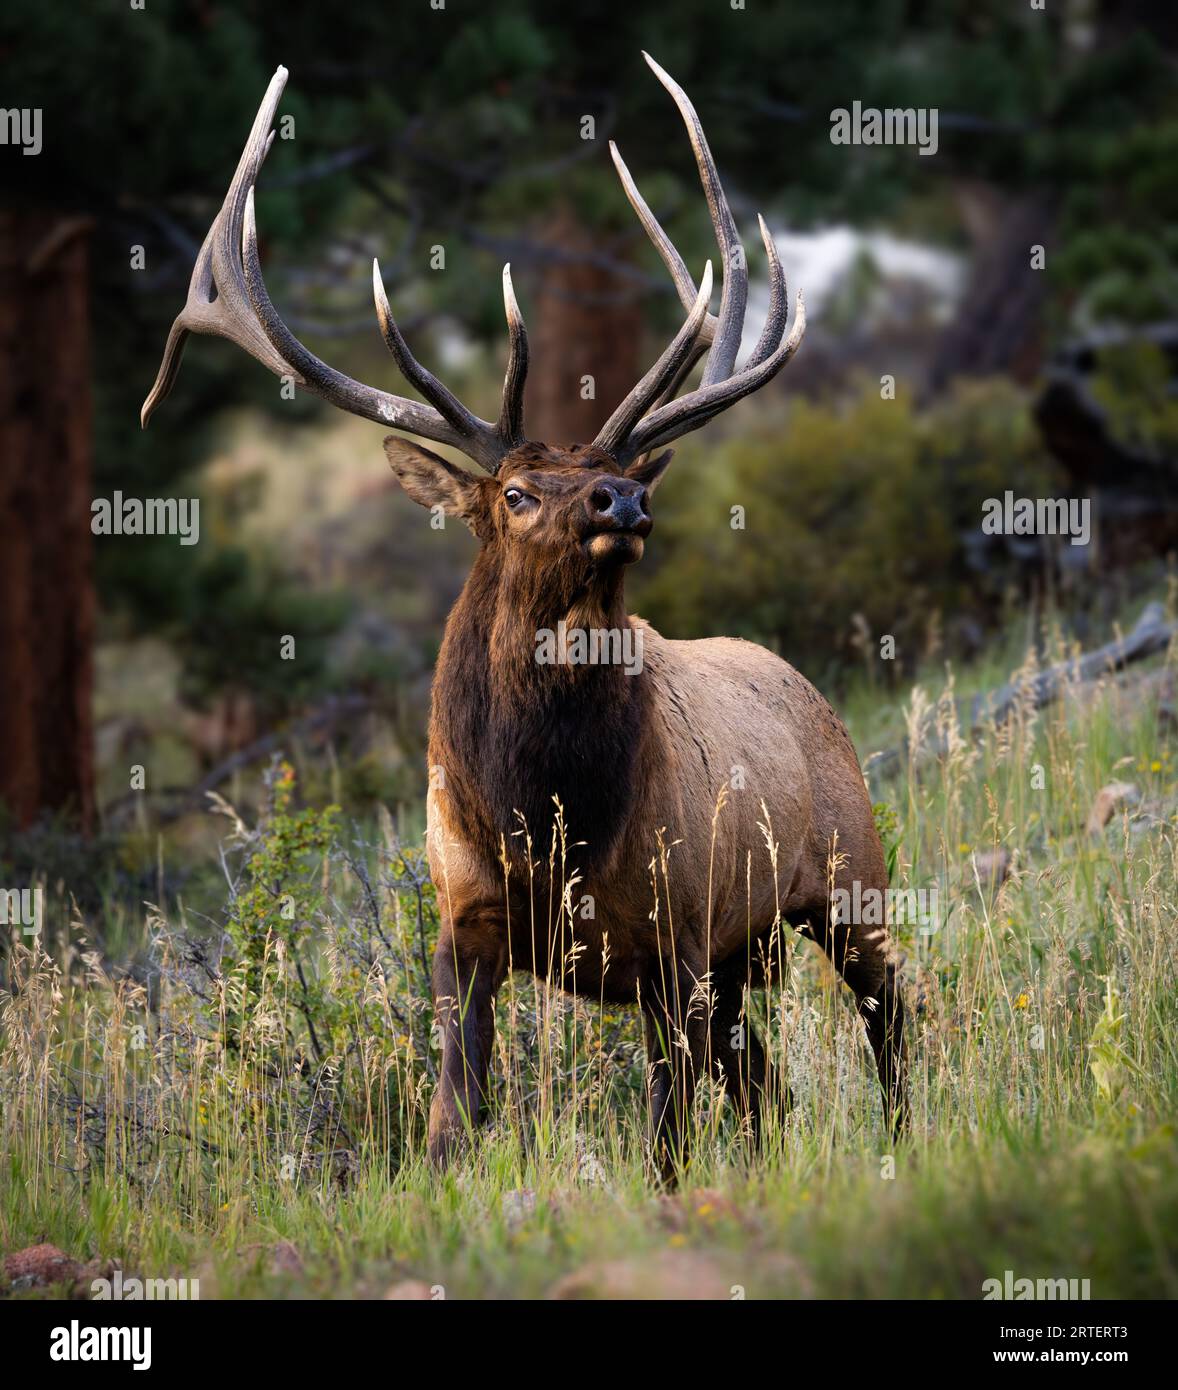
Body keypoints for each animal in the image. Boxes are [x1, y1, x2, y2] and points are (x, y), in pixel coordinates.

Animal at [142, 55, 907, 1180]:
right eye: (513, 492)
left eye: (609, 474)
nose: (622, 501)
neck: (543, 821)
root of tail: (810, 691)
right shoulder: (464, 923)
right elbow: (453, 1108)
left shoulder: (672, 935)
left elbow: (667, 1128)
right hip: (741, 956)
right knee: (769, 1085)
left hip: (850, 880)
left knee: (888, 1015)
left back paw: (910, 1137)